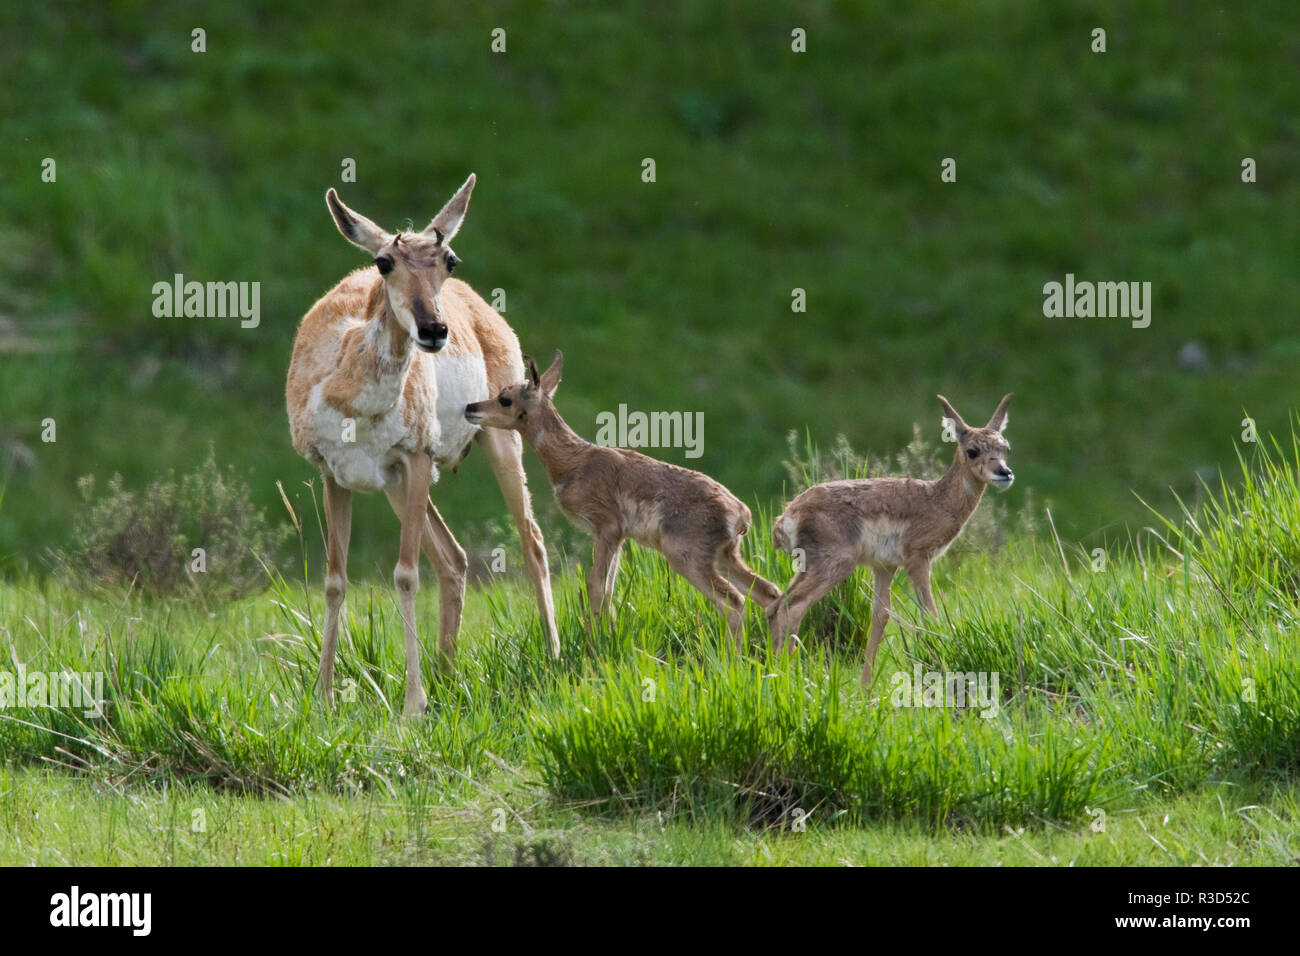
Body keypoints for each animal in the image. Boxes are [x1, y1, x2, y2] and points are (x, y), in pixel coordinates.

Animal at [286, 175, 560, 716]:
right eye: (383, 262)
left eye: (449, 259)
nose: (435, 330)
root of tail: (482, 308)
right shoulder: (333, 473)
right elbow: (334, 579)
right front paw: (324, 698)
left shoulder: (414, 459)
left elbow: (406, 574)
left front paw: (413, 705)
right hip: (395, 485)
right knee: (453, 559)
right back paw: (446, 673)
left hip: (498, 441)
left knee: (532, 541)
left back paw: (555, 655)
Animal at [465, 351, 780, 645]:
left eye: (505, 399)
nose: (470, 407)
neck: (573, 462)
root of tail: (741, 514)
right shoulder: (618, 537)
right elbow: (608, 589)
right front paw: (609, 637)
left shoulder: (607, 527)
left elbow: (594, 585)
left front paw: (595, 647)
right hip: (725, 555)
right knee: (769, 591)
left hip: (686, 557)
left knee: (735, 600)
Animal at [769, 394, 1014, 685]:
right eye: (973, 450)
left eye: (1006, 447)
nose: (1004, 472)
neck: (937, 500)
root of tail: (787, 516)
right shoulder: (918, 559)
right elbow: (930, 613)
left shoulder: (885, 567)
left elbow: (881, 615)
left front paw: (865, 687)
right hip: (836, 565)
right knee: (792, 607)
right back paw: (789, 676)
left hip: (809, 567)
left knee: (774, 605)